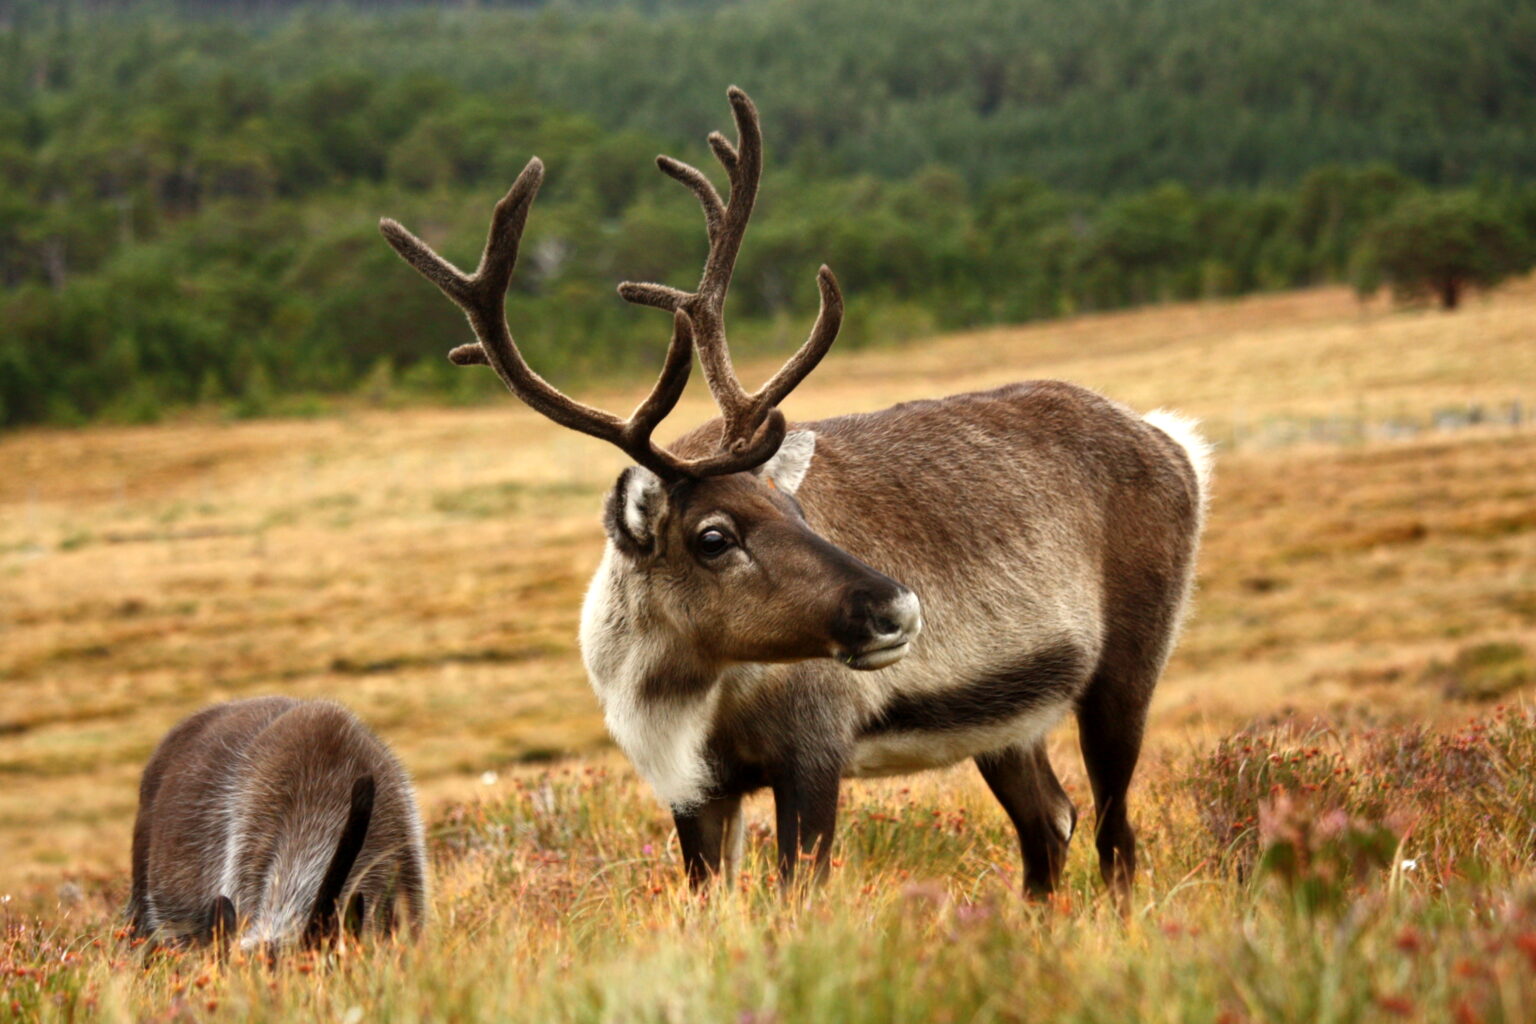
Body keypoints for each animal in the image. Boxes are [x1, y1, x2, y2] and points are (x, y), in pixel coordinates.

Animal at [380, 87, 1211, 903]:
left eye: (798, 510)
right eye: (713, 536)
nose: (898, 607)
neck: (674, 696)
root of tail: (1173, 443)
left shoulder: (813, 750)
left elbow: (797, 897)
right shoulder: (693, 790)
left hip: (1128, 665)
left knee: (1113, 832)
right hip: (1007, 722)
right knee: (1050, 822)